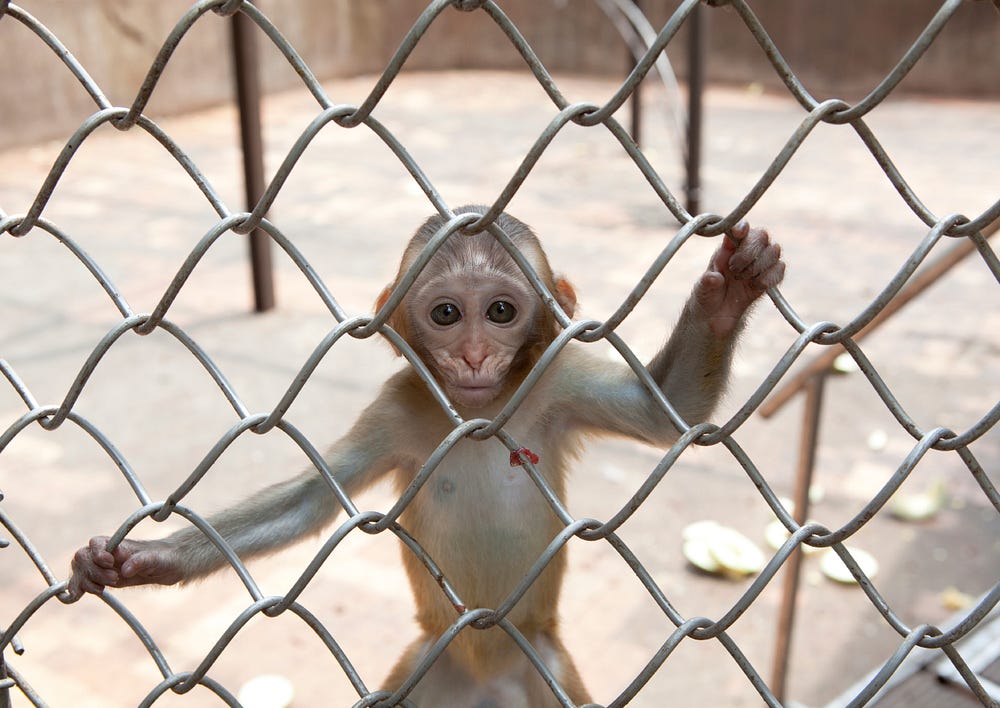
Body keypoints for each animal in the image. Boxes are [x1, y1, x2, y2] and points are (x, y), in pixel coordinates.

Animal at [68, 205, 784, 707]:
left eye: (500, 311)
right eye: (446, 314)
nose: (473, 355)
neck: (473, 419)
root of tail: (488, 679)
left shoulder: (558, 381)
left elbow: (672, 414)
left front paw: (728, 294)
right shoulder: (396, 410)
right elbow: (310, 503)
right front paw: (142, 560)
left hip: (542, 667)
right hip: (427, 669)